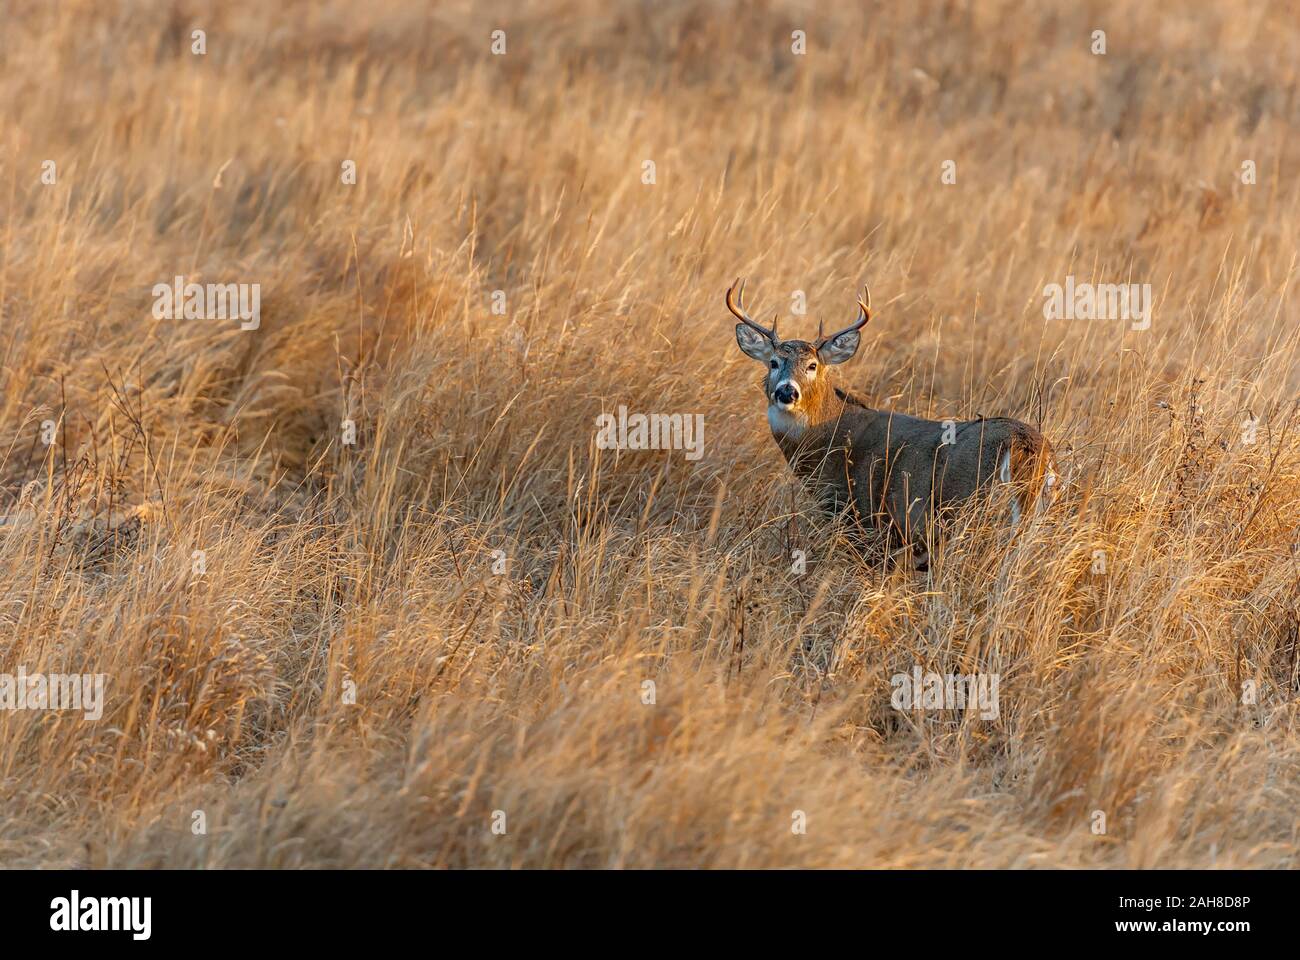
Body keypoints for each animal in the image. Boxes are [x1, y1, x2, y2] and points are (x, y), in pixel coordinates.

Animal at [728, 278, 1058, 570]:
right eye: (773, 362)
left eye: (812, 366)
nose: (787, 391)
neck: (831, 442)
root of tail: (1024, 446)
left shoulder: (866, 521)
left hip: (967, 513)